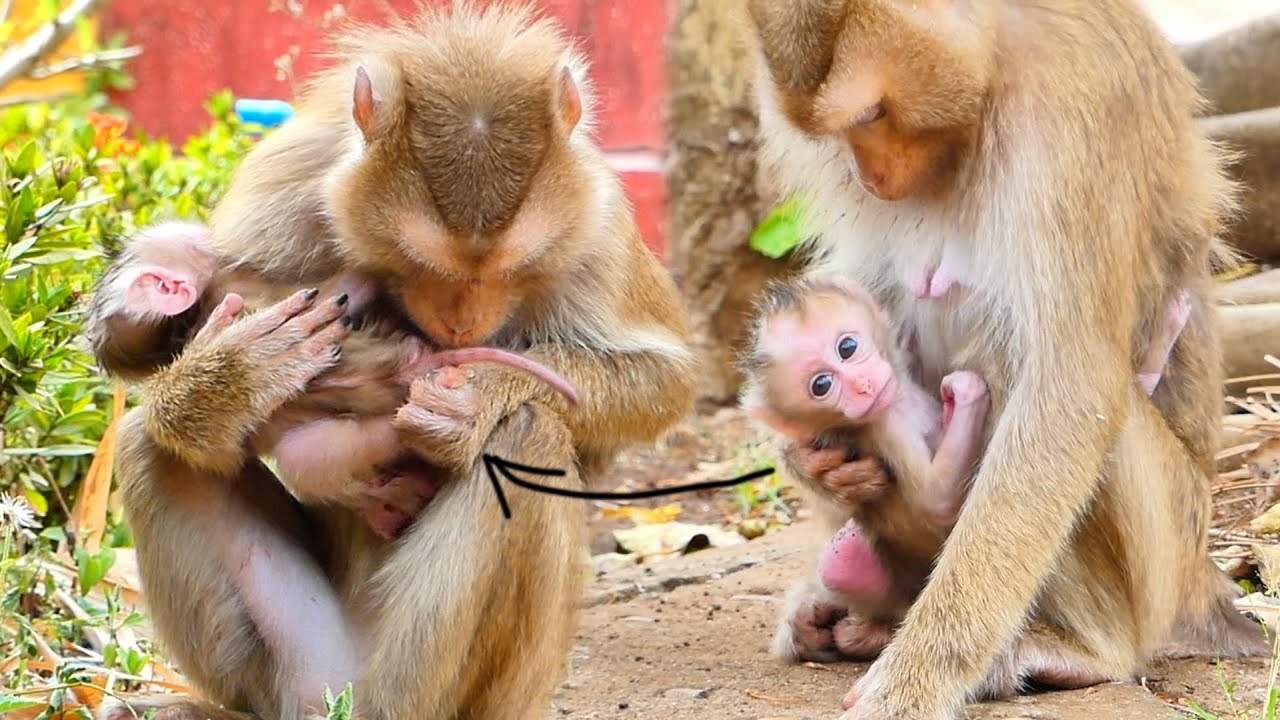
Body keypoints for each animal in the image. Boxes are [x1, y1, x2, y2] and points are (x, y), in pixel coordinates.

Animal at [92, 4, 697, 720]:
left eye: (511, 266)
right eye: (421, 264)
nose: (461, 325)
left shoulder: (596, 218)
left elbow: (665, 382)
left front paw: (479, 396)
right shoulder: (291, 179)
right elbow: (210, 428)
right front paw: (234, 375)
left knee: (527, 432)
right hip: (299, 667)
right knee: (148, 443)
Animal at [743, 1, 1268, 718]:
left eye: (872, 115)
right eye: (844, 132)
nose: (870, 178)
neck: (993, 66)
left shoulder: (1073, 106)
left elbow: (1071, 386)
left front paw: (918, 679)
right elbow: (869, 291)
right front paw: (815, 462)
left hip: (1166, 556)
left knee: (1018, 358)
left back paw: (1086, 651)